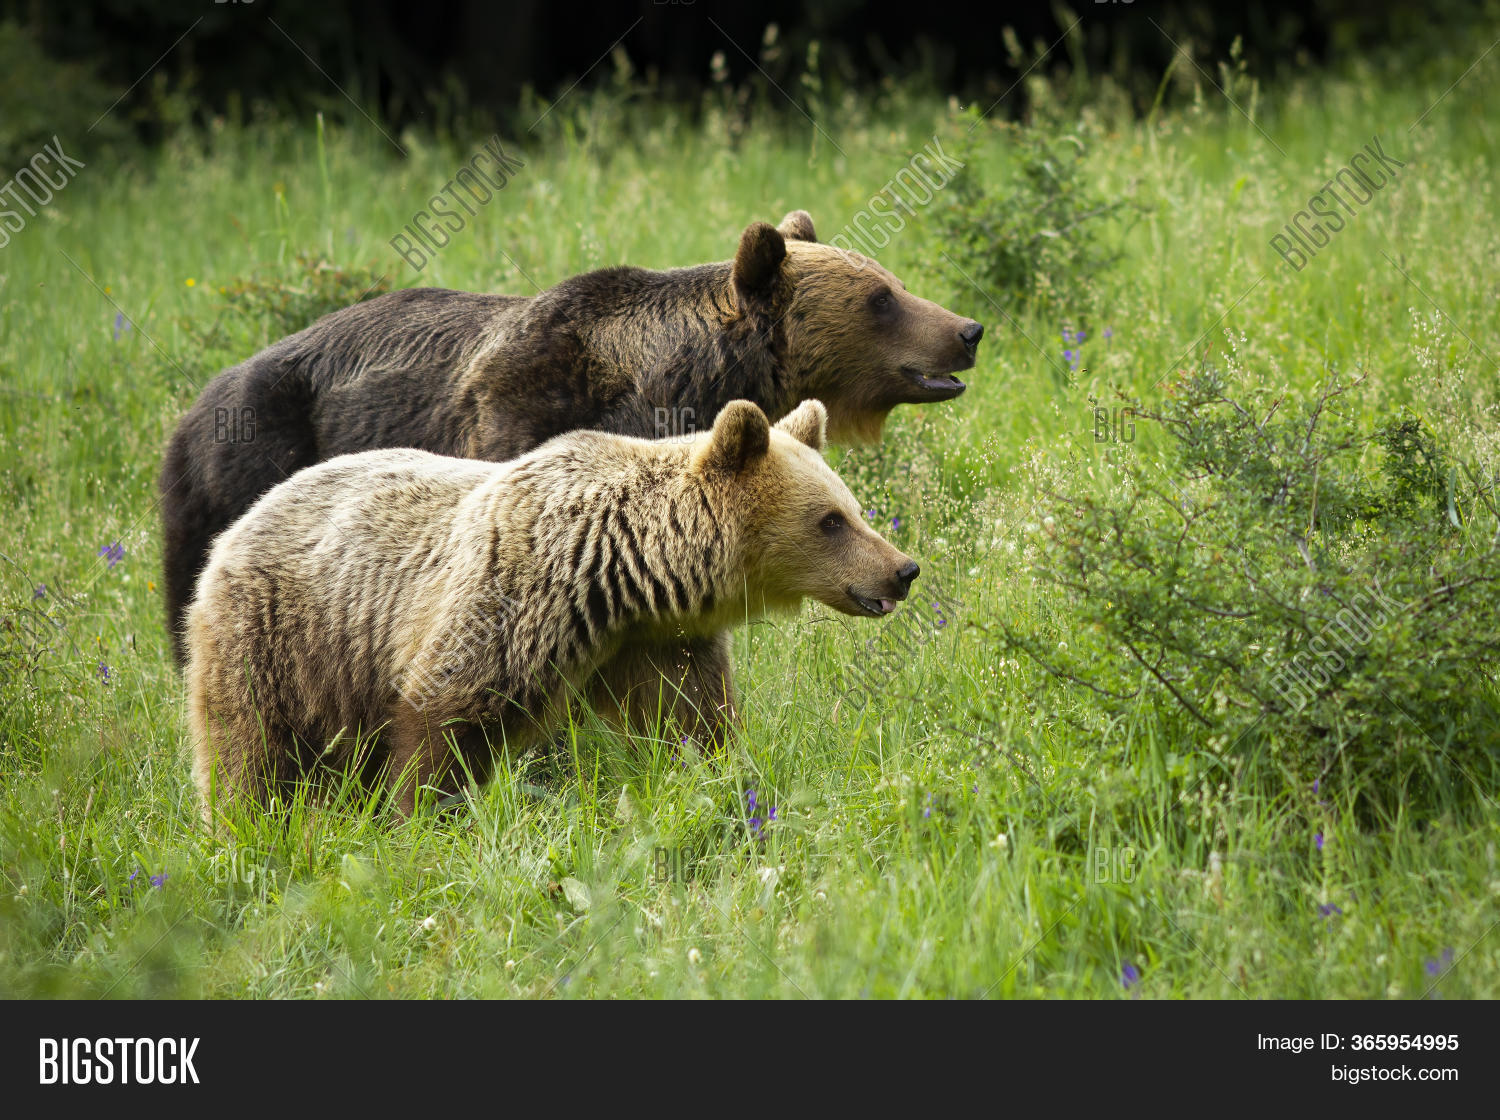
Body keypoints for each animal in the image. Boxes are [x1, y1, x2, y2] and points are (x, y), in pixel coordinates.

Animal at [160, 210, 981, 676]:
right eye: (880, 299)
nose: (967, 330)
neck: (669, 380)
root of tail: (195, 400)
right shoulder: (521, 411)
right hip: (243, 463)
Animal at [186, 399, 918, 819]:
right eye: (830, 522)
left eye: (853, 508)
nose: (902, 569)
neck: (623, 571)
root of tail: (238, 525)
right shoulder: (508, 599)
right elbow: (444, 722)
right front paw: (422, 818)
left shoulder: (656, 640)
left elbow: (689, 720)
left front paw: (720, 775)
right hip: (284, 635)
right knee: (252, 752)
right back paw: (250, 829)